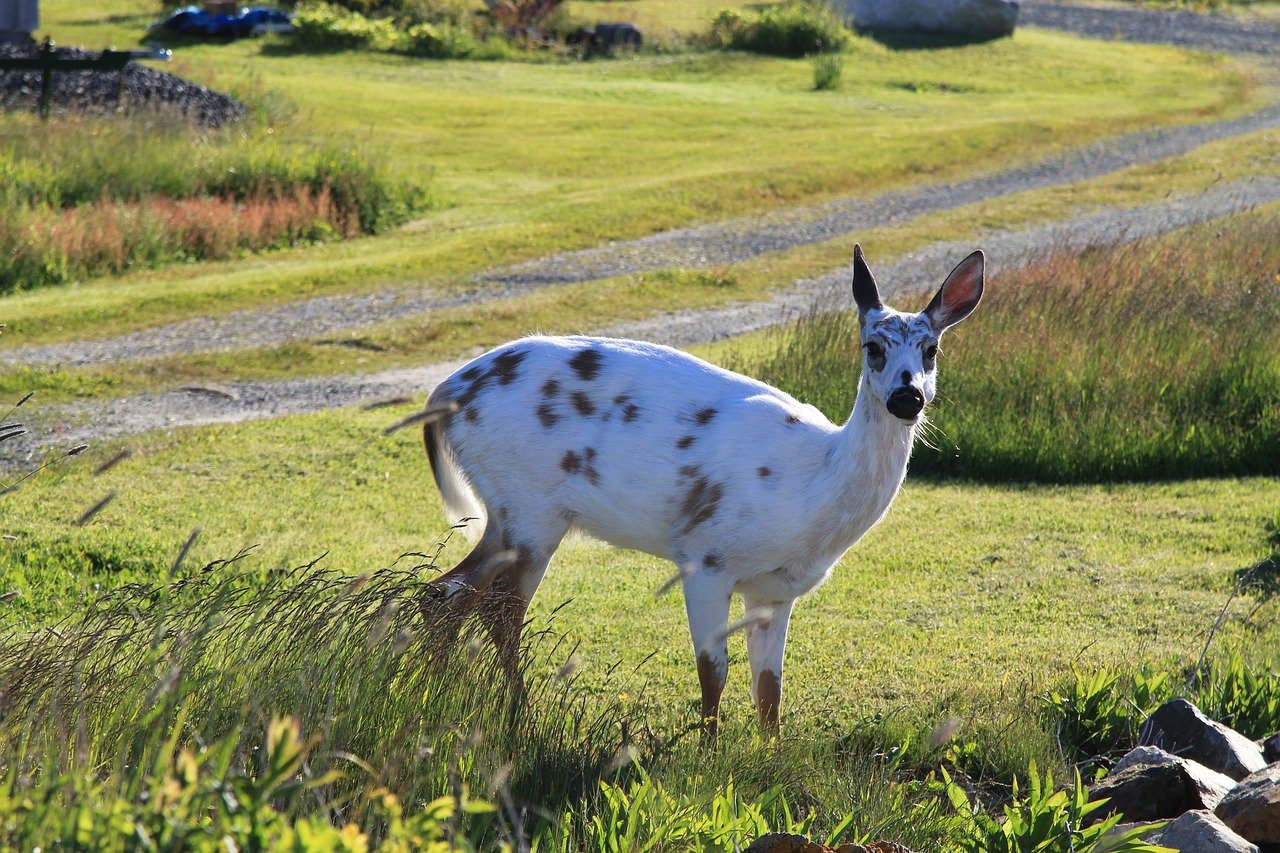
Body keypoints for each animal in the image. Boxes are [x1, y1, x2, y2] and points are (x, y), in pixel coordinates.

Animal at [421, 245, 984, 740]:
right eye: (872, 346)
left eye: (932, 349)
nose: (907, 397)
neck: (809, 491)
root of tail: (445, 394)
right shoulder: (706, 557)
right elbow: (713, 671)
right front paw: (708, 758)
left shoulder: (776, 588)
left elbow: (769, 688)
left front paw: (771, 755)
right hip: (530, 504)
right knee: (500, 613)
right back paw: (514, 716)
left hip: (508, 511)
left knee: (447, 592)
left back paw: (436, 698)